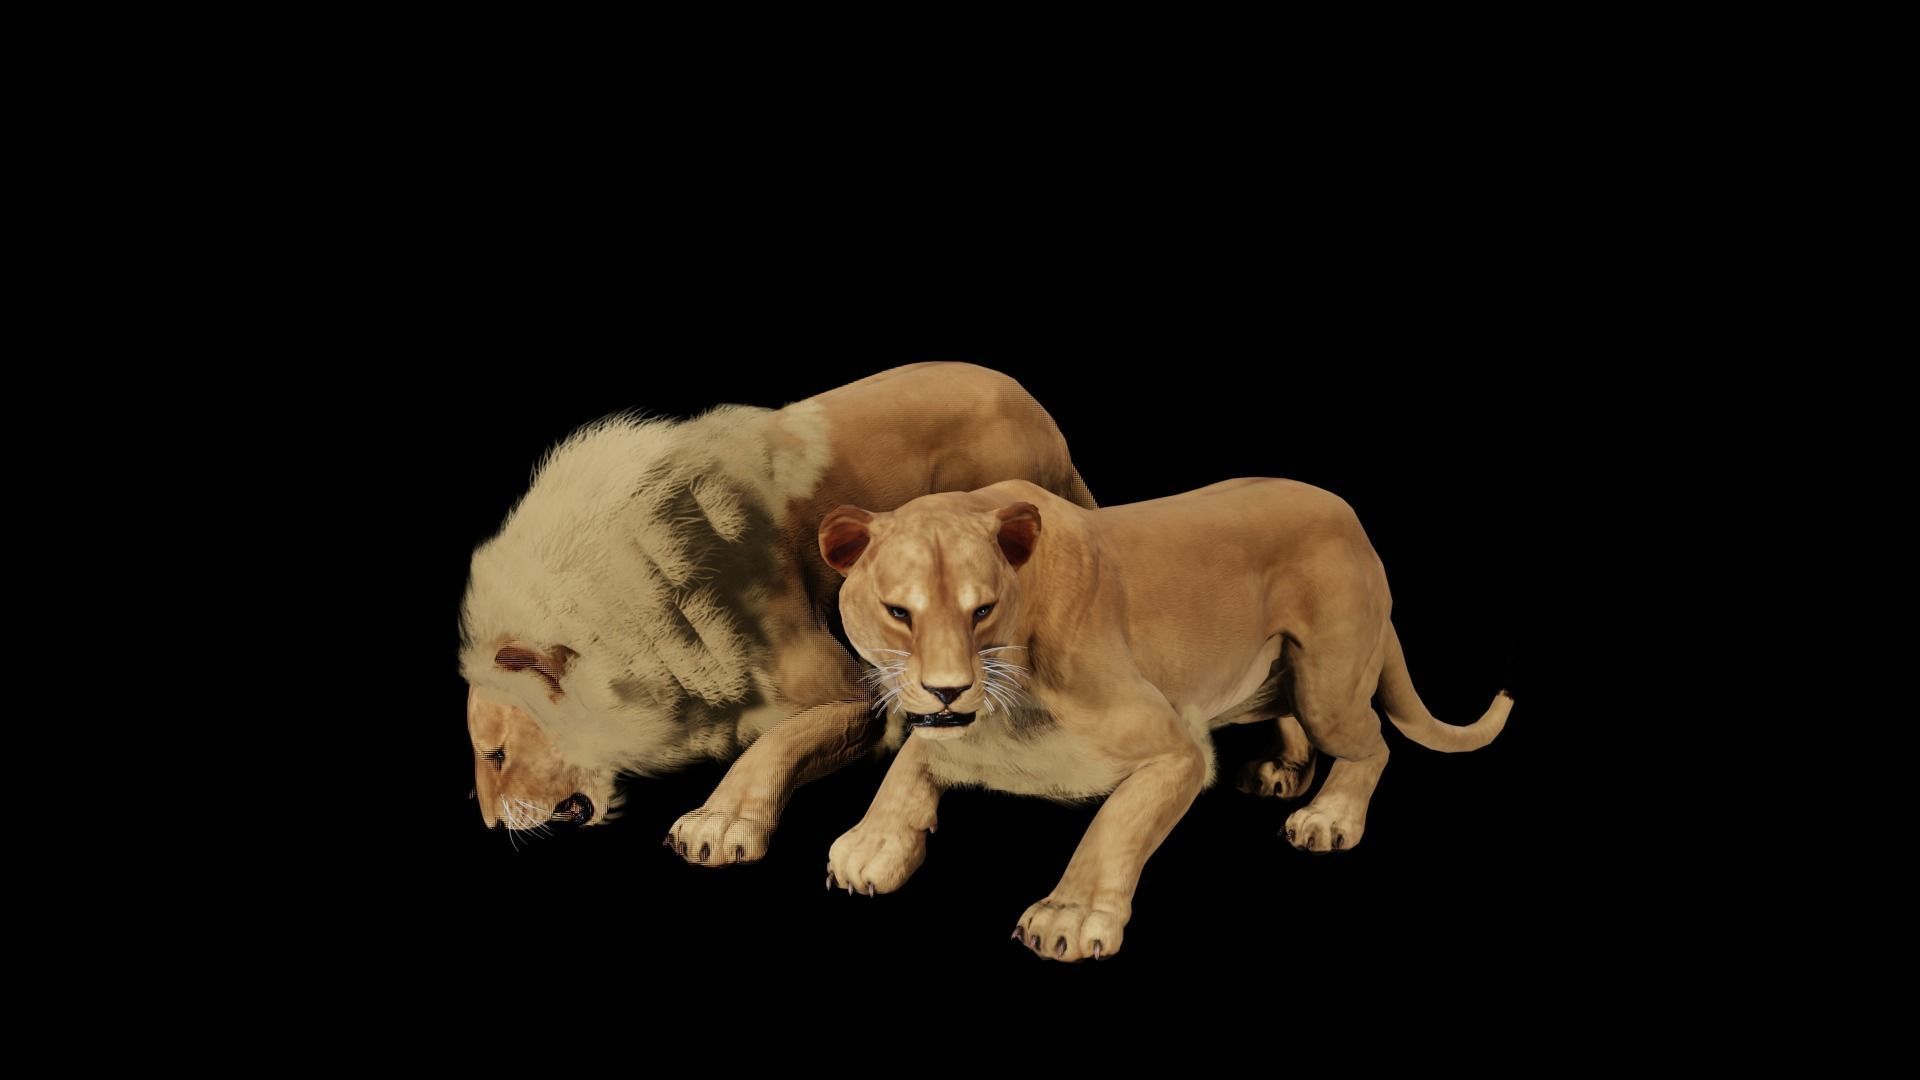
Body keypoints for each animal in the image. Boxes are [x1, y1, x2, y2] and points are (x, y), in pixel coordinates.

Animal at [460, 363, 1098, 863]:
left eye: (497, 754)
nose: (488, 825)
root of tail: (1042, 415)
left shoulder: (850, 692)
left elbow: (777, 740)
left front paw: (720, 824)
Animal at [816, 477, 1511, 960]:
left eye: (981, 610)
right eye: (899, 613)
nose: (948, 690)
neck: (1002, 704)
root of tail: (1355, 523)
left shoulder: (1176, 747)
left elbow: (1115, 826)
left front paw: (1069, 916)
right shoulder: (952, 732)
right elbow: (909, 765)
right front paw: (872, 845)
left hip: (1329, 683)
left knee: (1373, 743)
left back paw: (1328, 817)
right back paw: (1281, 770)